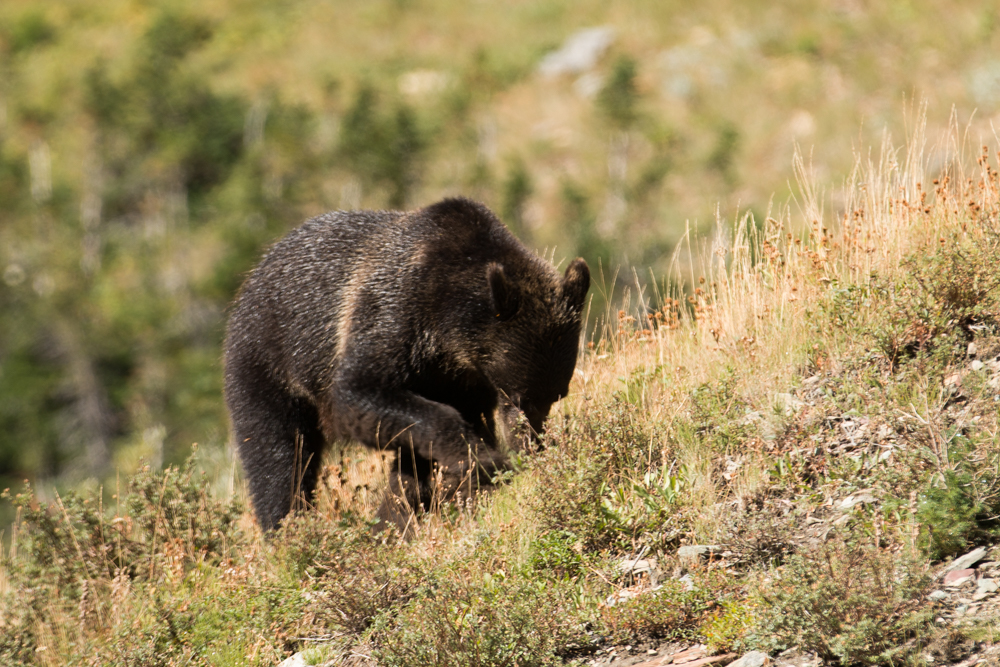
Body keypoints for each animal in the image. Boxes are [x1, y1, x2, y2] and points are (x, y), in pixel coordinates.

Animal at [223, 197, 590, 534]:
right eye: (517, 396)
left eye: (556, 396)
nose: (532, 447)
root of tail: (251, 279)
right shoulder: (393, 310)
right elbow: (357, 393)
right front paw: (483, 460)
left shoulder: (461, 379)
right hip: (267, 360)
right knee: (279, 454)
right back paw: (290, 531)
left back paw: (391, 523)